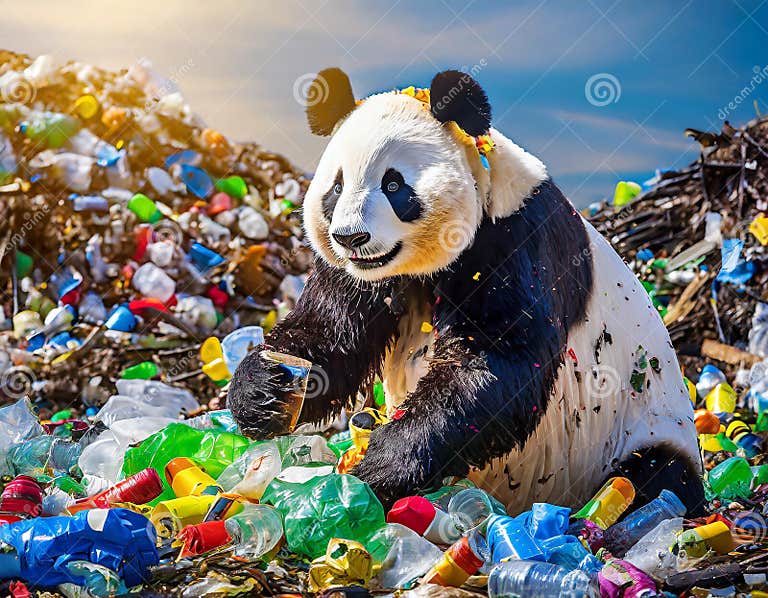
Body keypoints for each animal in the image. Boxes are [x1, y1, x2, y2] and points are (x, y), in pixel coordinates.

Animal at [228, 68, 704, 515]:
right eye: (336, 186)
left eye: (394, 185)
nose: (350, 237)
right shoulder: (358, 274)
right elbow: (330, 334)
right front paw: (262, 390)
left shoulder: (515, 238)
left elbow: (497, 359)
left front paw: (385, 463)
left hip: (638, 432)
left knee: (656, 478)